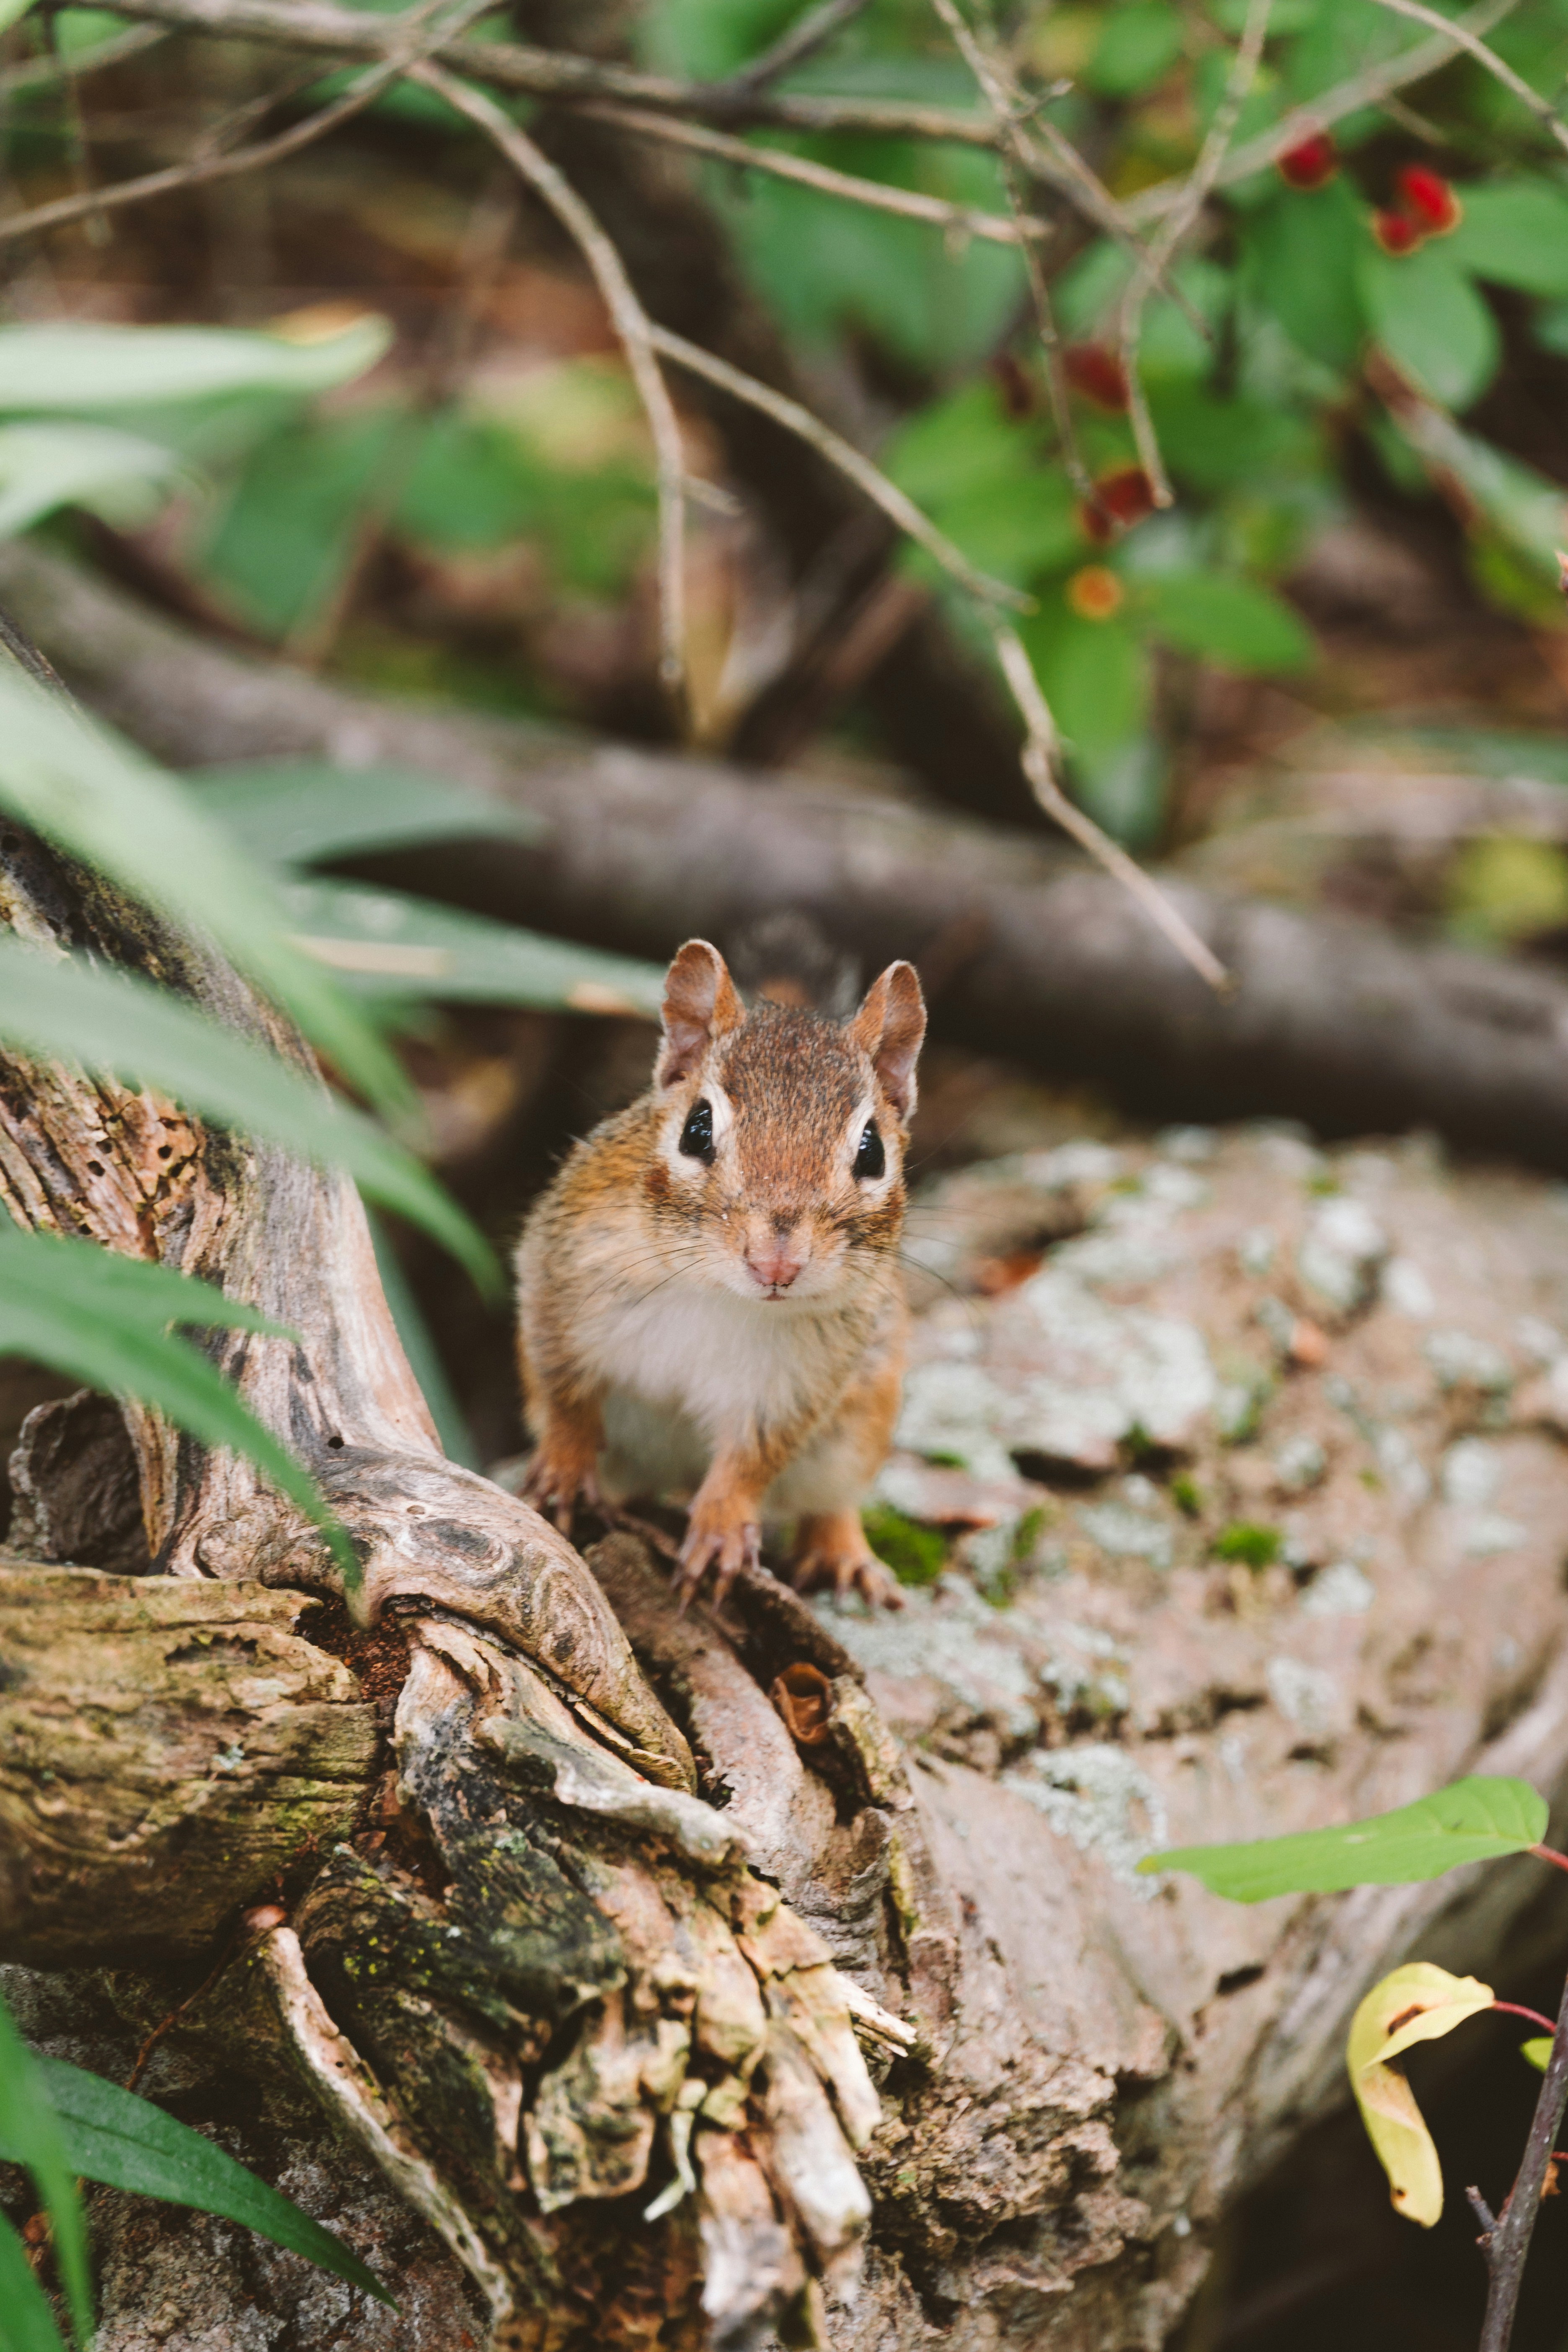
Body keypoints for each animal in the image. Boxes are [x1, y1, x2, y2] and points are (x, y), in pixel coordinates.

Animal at [515, 936, 926, 1611]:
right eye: (696, 1128)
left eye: (872, 1150)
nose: (776, 1261)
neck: (721, 1294)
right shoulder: (561, 1280)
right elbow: (565, 1392)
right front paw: (565, 1472)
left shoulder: (800, 1377)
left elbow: (751, 1459)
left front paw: (721, 1529)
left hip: (856, 1428)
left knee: (831, 1501)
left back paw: (844, 1554)